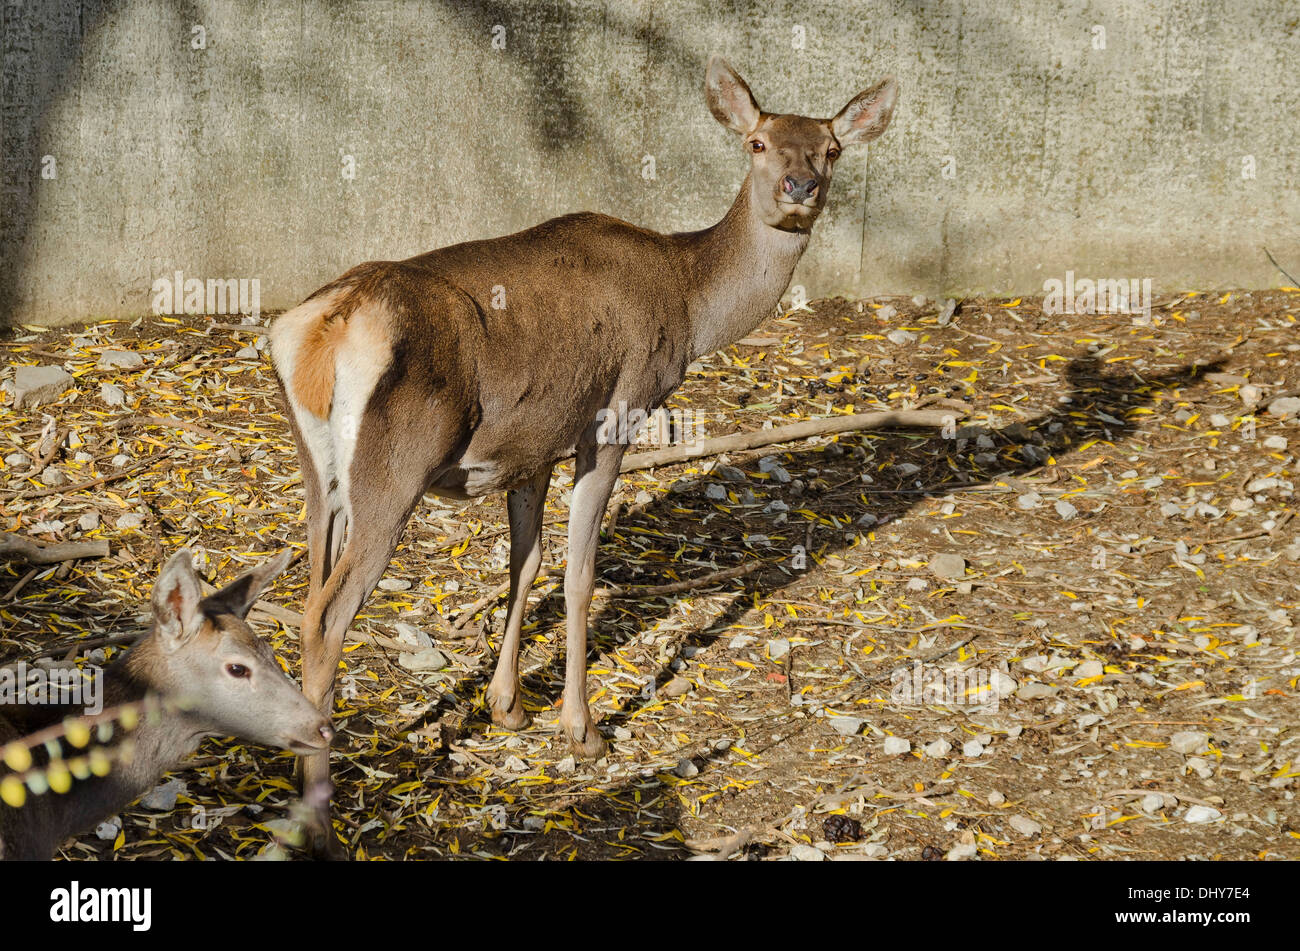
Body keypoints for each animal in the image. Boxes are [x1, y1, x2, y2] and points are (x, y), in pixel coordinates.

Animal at [269, 55, 898, 857]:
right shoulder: (614, 412)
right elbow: (579, 570)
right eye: (757, 142)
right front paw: (584, 727)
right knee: (327, 616)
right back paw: (319, 820)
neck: (688, 306)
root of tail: (325, 327)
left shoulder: (533, 439)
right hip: (392, 468)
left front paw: (506, 706)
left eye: (831, 149)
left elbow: (525, 563)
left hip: (318, 474)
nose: (799, 187)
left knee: (305, 592)